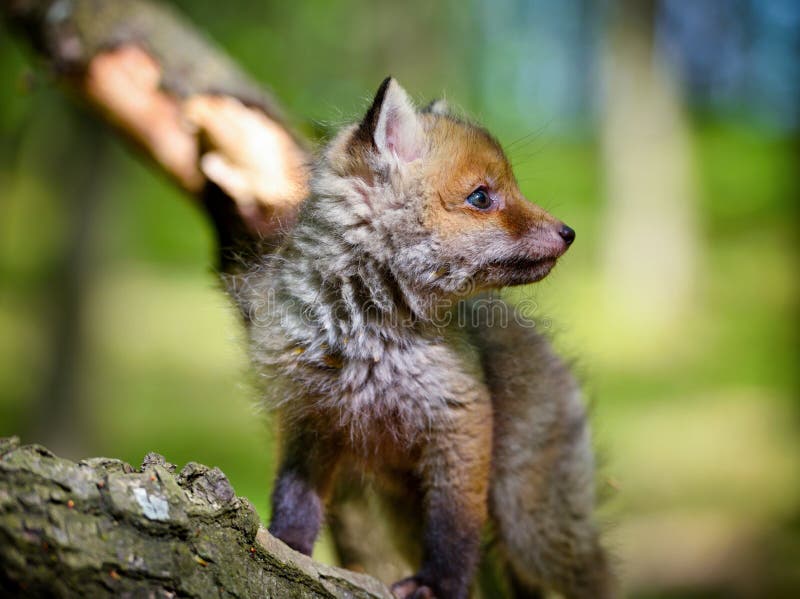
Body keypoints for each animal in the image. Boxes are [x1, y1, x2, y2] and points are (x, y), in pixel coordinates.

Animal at [232, 77, 614, 599]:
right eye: (481, 197)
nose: (569, 232)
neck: (366, 336)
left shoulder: (461, 420)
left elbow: (454, 530)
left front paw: (438, 584)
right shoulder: (308, 415)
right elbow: (294, 498)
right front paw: (287, 548)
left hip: (530, 529)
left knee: (594, 573)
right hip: (407, 513)